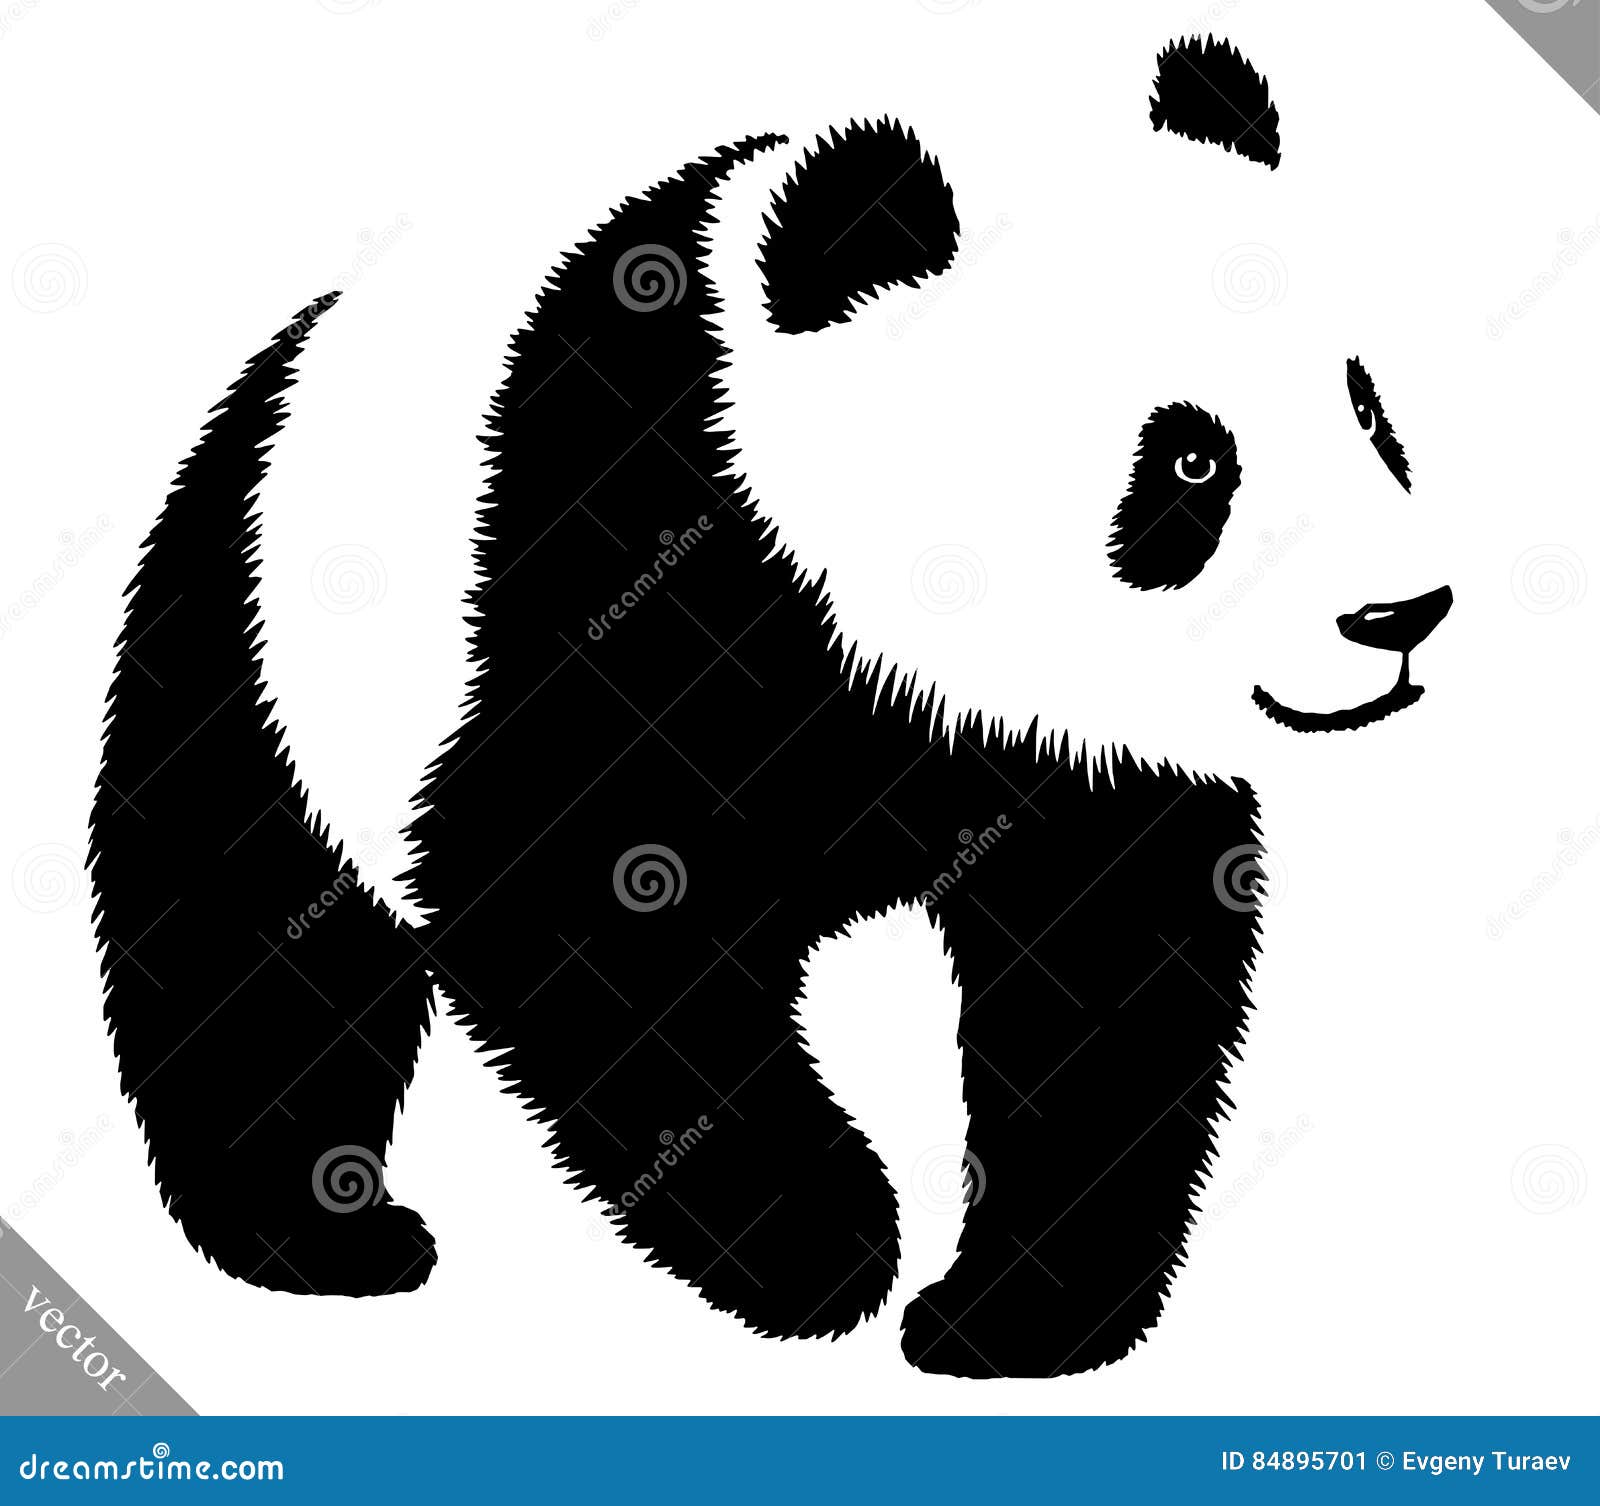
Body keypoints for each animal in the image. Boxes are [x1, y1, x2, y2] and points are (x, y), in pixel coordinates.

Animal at [90, 27, 1517, 1387]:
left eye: (1367, 408)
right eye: (1188, 460)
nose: (1399, 617)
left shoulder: (1071, 746)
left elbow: (1103, 973)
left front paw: (1014, 1319)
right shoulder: (636, 557)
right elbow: (585, 897)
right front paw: (821, 1250)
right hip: (248, 648)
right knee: (248, 938)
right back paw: (319, 1237)